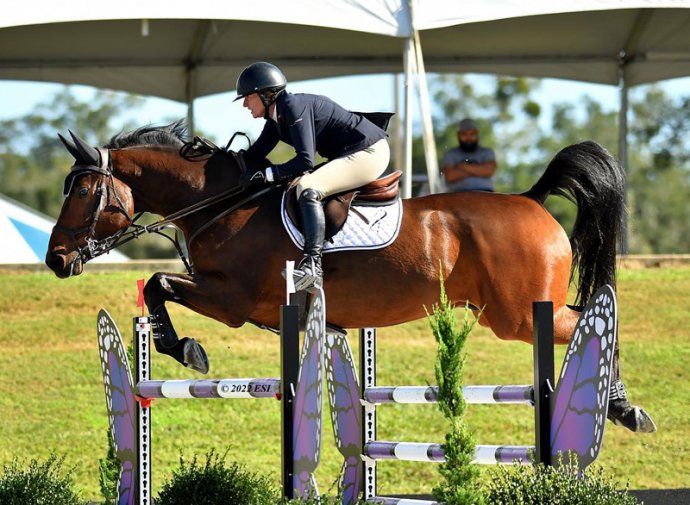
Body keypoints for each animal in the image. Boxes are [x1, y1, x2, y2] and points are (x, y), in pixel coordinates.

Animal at [46, 121, 655, 433]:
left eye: (83, 190)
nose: (55, 259)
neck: (221, 203)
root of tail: (530, 200)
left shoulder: (232, 300)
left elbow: (158, 284)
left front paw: (187, 349)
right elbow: (157, 287)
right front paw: (183, 346)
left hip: (517, 317)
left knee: (592, 320)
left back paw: (624, 408)